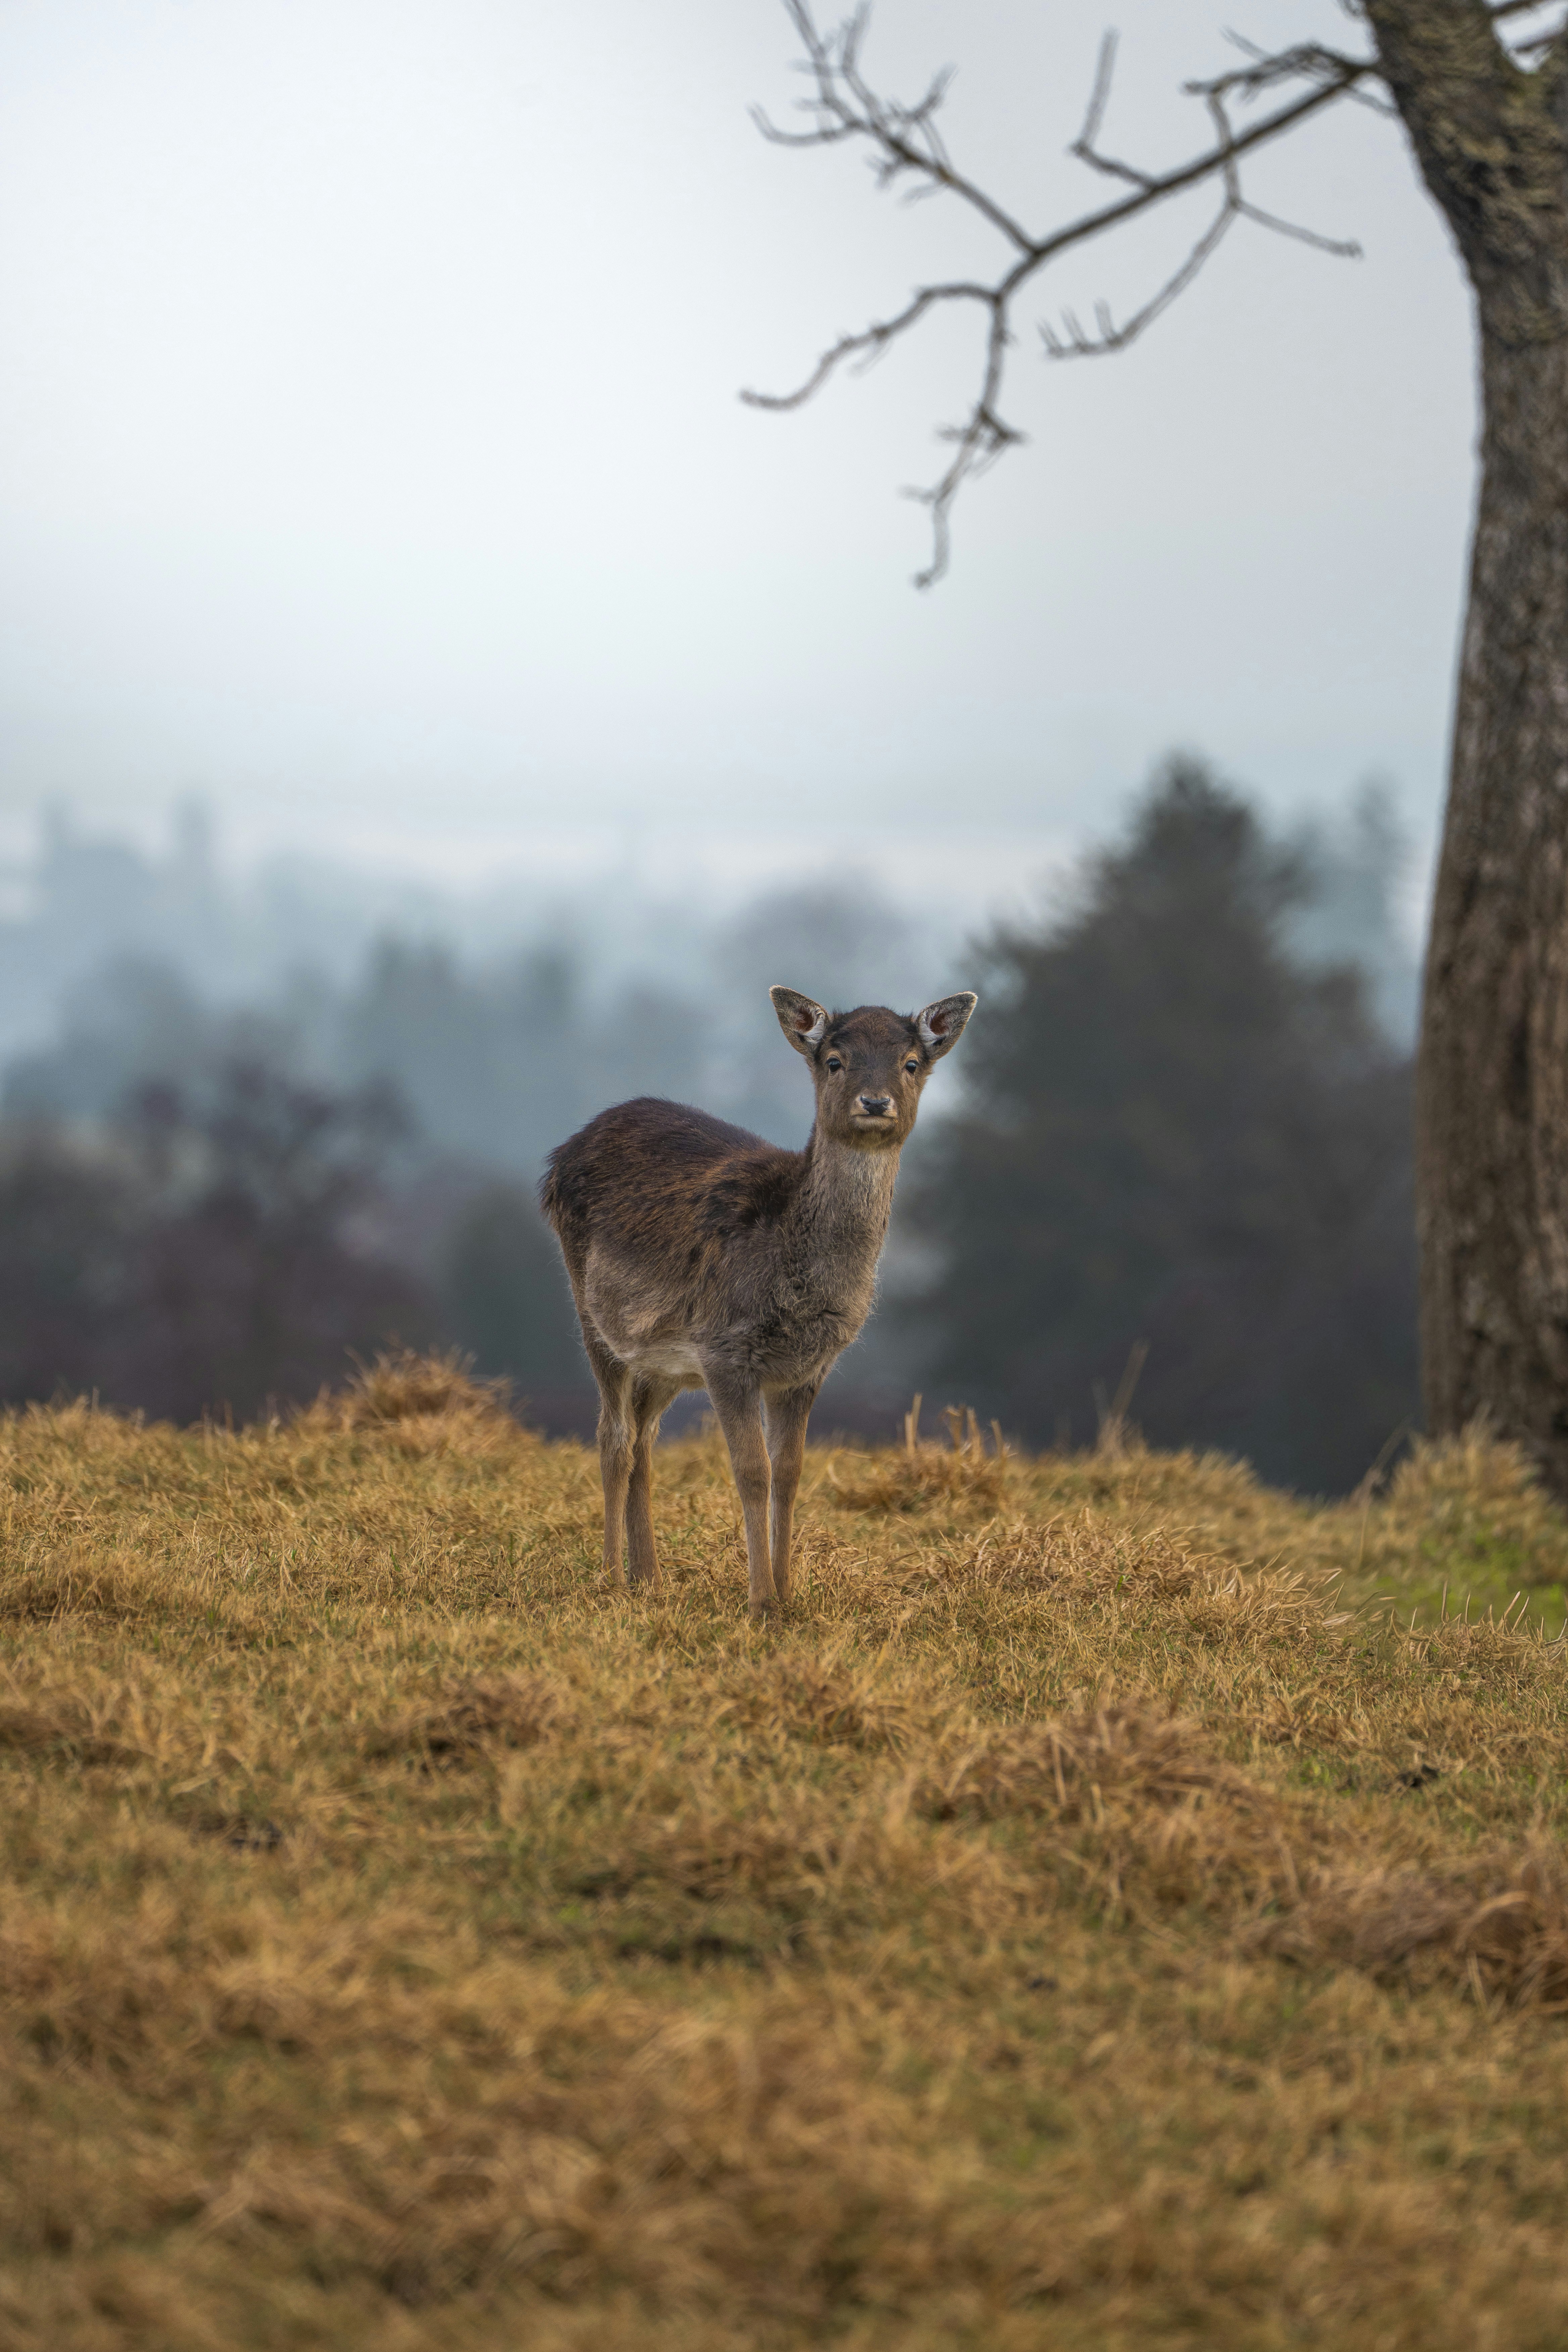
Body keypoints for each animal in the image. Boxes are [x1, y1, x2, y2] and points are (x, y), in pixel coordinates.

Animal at [540, 985, 977, 1616]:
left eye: (912, 1063)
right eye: (835, 1060)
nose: (875, 1102)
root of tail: (559, 1156)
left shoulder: (807, 1368)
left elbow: (790, 1472)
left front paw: (790, 1593)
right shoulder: (726, 1348)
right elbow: (752, 1470)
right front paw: (761, 1602)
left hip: (665, 1357)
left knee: (644, 1439)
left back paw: (651, 1577)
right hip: (594, 1311)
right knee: (613, 1436)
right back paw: (610, 1577)